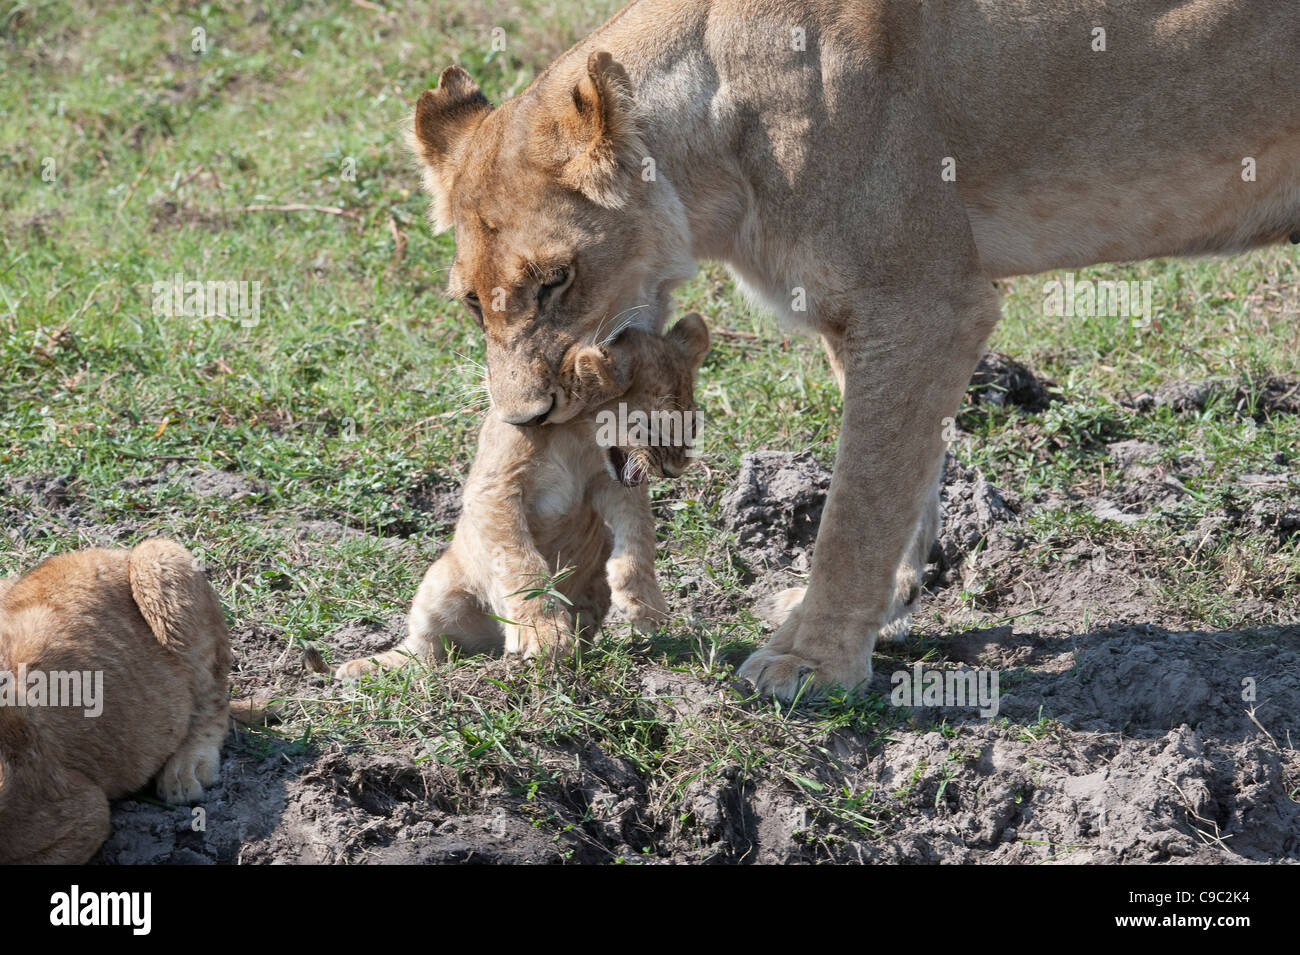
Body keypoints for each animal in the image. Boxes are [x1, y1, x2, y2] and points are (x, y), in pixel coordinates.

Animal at [334, 313, 710, 678]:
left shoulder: (610, 484)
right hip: (440, 585)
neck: (578, 436)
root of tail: (487, 646)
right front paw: (542, 635)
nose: (675, 470)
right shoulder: (497, 488)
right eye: (651, 426)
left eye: (692, 424)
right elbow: (519, 561)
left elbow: (640, 535)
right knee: (425, 651)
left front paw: (645, 605)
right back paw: (364, 668)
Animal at [407, 0, 1300, 700]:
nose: (524, 419)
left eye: (556, 279)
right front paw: (879, 609)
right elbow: (904, 480)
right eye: (470, 300)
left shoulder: (922, 302)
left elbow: (856, 505)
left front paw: (811, 660)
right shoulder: (860, 316)